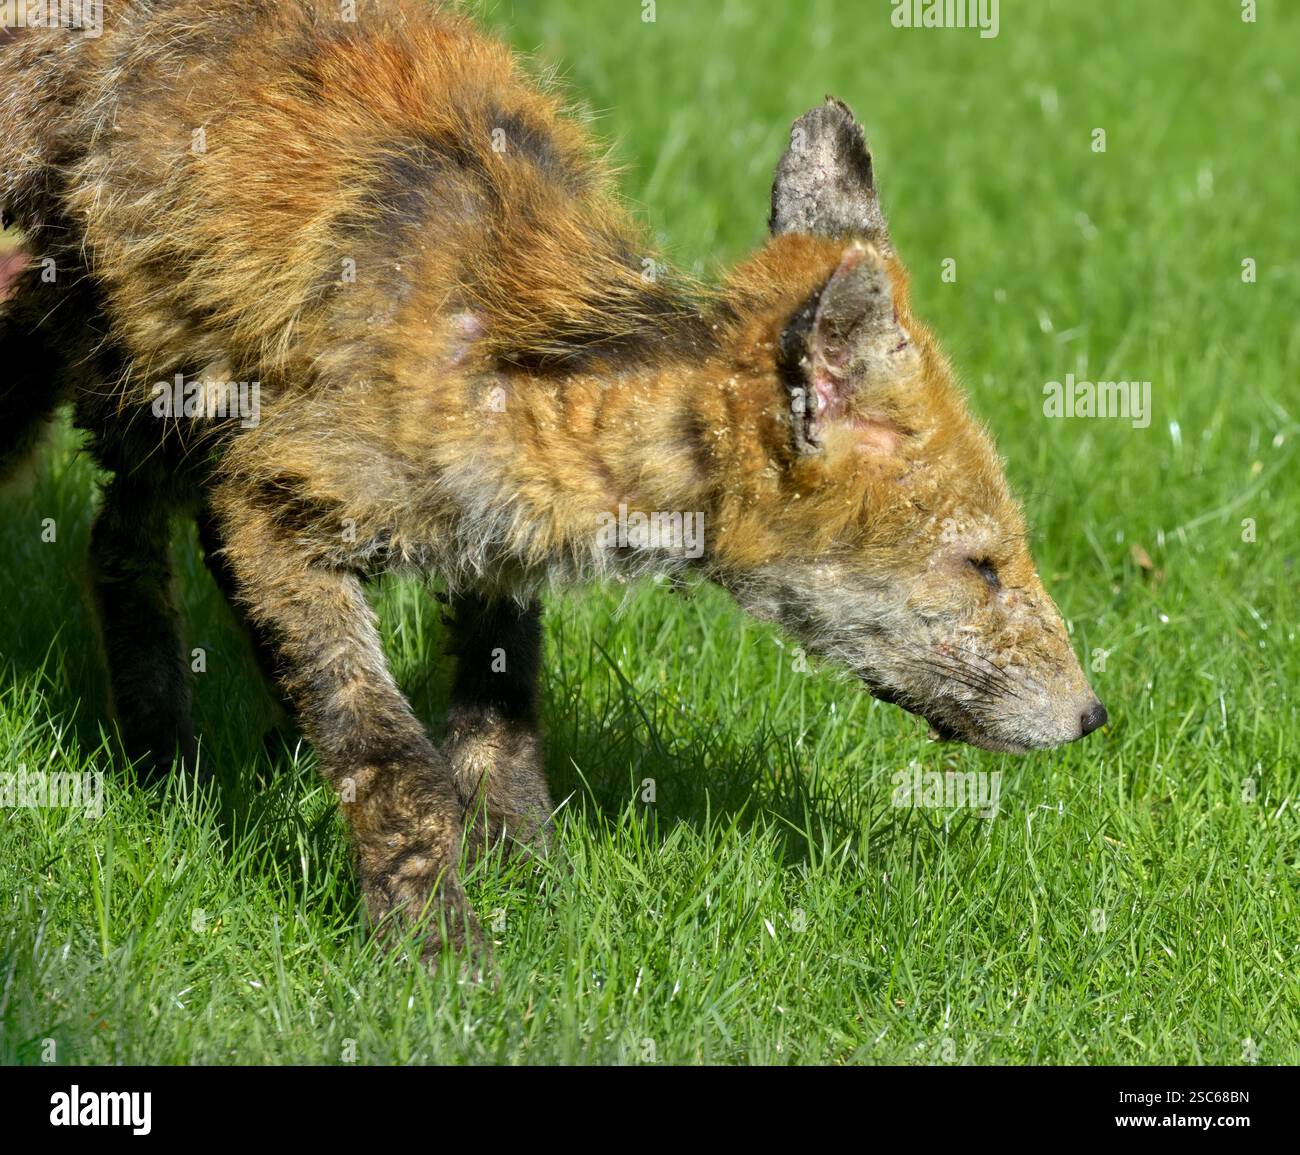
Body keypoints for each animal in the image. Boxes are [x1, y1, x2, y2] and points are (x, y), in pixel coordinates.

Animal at [0, 0, 1106, 965]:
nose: (1094, 716)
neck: (510, 362)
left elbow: (500, 742)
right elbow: (394, 760)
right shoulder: (275, 500)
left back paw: (173, 761)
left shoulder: (491, 550)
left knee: (114, 546)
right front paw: (434, 953)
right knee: (121, 553)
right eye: (982, 565)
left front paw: (537, 890)